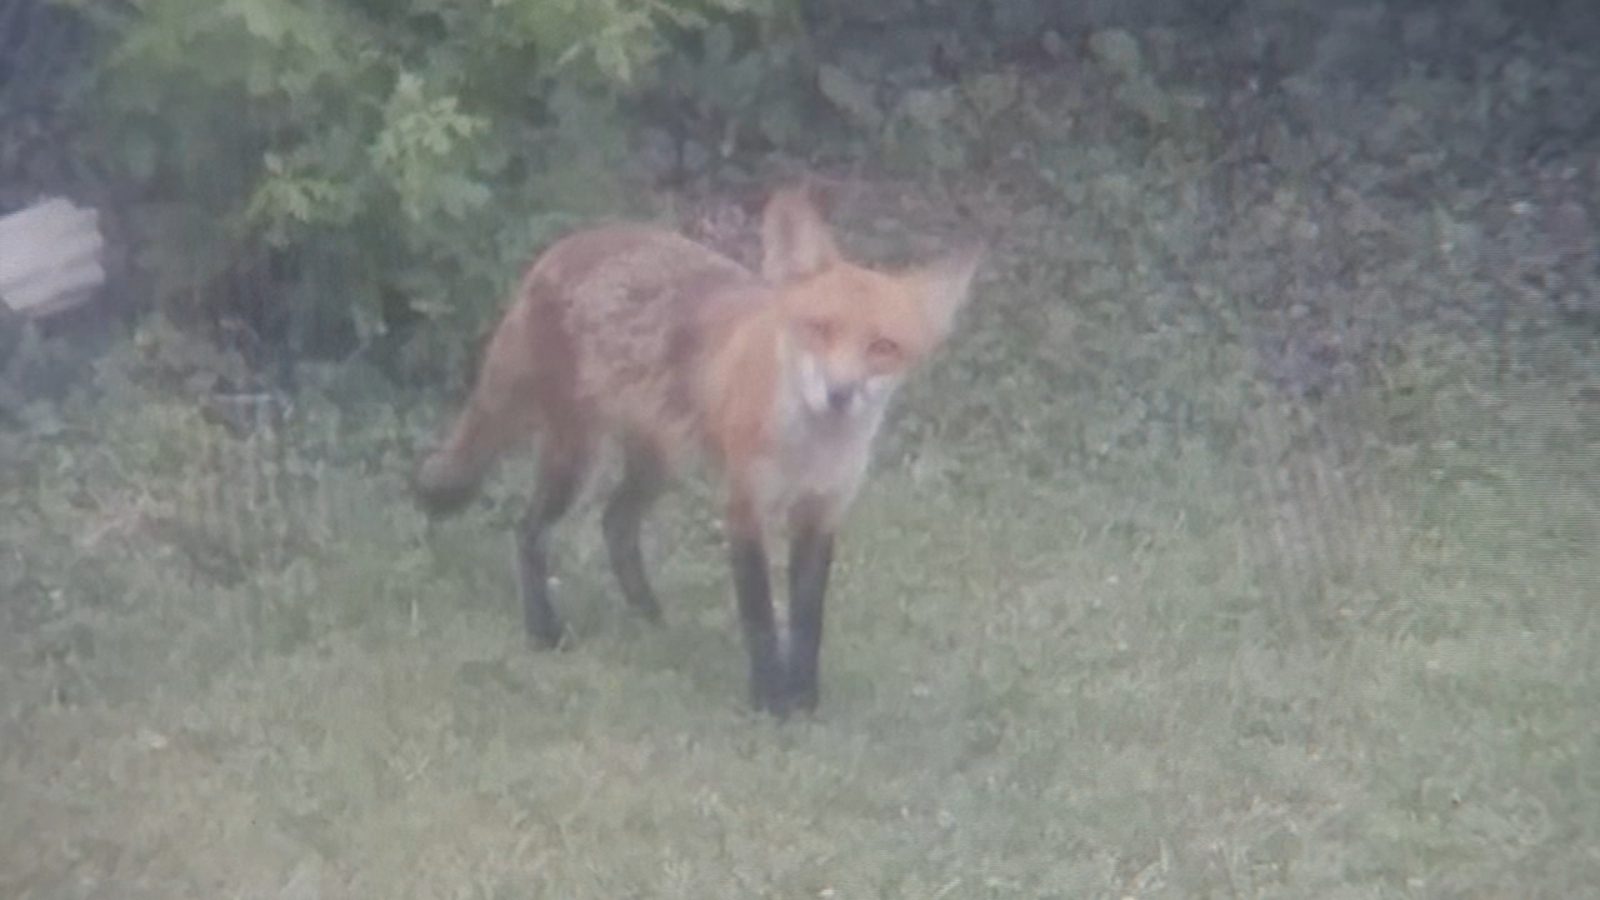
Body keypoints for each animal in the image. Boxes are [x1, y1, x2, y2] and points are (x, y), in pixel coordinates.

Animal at [412, 184, 982, 716]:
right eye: (819, 329)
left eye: (883, 347)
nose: (839, 394)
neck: (810, 452)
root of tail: (563, 248)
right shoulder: (744, 507)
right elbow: (759, 615)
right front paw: (769, 702)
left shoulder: (820, 514)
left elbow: (807, 619)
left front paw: (804, 700)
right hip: (575, 458)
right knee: (528, 530)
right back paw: (544, 629)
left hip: (660, 461)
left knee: (615, 523)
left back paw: (650, 618)